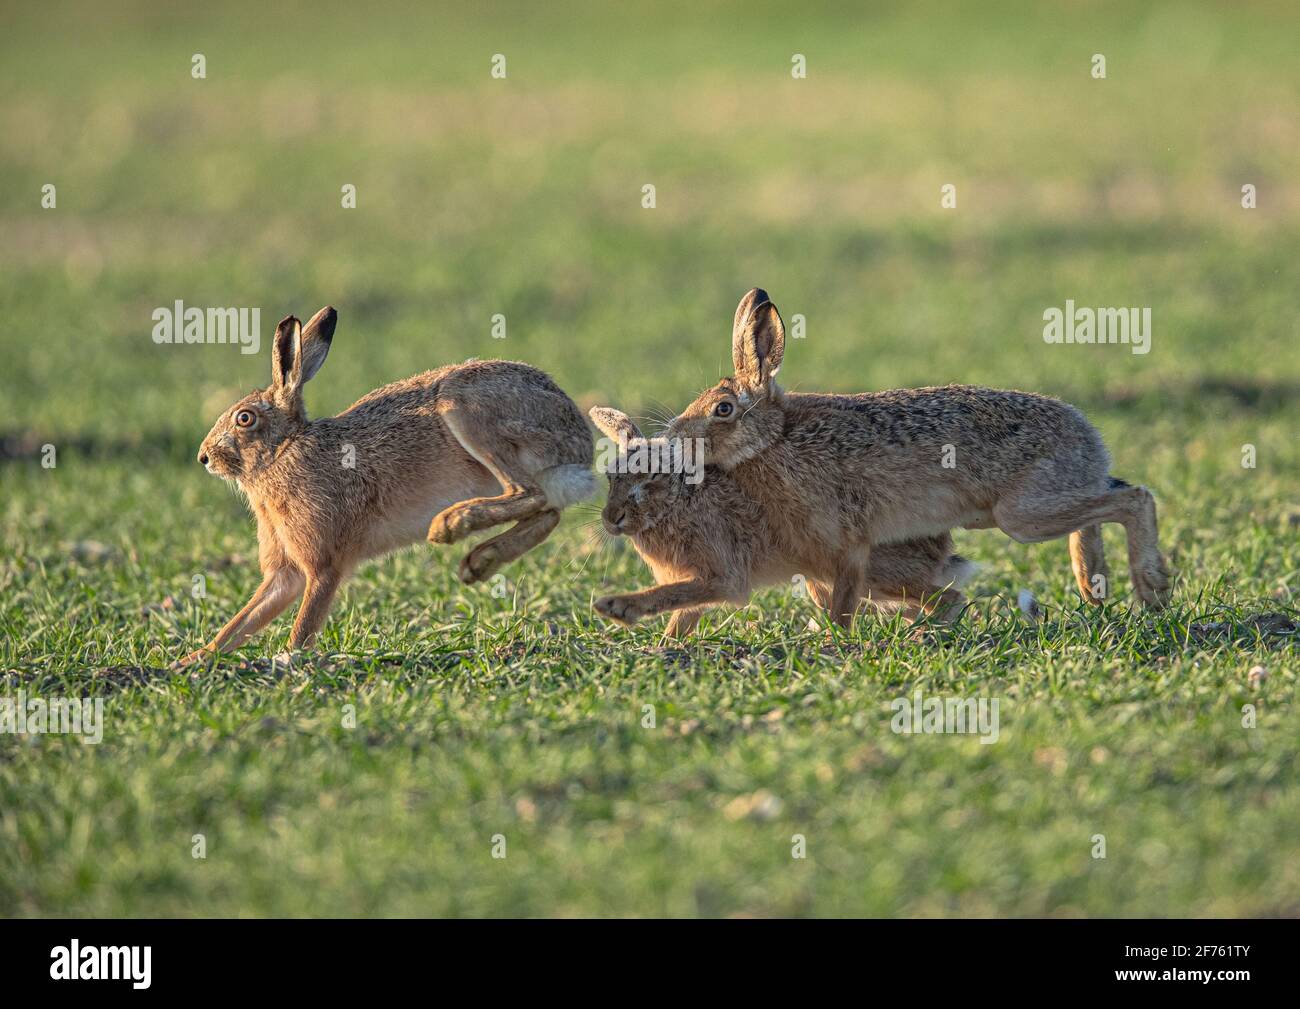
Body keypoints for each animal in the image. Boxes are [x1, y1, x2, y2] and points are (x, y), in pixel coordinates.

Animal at [177, 307, 594, 667]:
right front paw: (192, 661)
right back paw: (479, 561)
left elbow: (305, 623)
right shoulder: (285, 572)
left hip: (465, 408)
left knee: (528, 494)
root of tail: (581, 444)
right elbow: (243, 621)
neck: (282, 450)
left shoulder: (324, 563)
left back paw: (450, 525)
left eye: (244, 418)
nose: (203, 457)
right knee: (547, 512)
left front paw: (287, 660)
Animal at [588, 406, 976, 636]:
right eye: (611, 476)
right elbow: (682, 616)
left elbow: (676, 595)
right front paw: (662, 648)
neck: (679, 500)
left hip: (872, 574)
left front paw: (617, 607)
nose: (612, 518)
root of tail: (941, 548)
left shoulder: (721, 574)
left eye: (653, 477)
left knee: (948, 597)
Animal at [660, 288, 1171, 626]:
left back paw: (1153, 590)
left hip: (1023, 514)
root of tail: (1091, 438)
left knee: (1135, 498)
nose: (675, 436)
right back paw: (1094, 584)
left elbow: (841, 596)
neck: (776, 436)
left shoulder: (844, 533)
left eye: (723, 410)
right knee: (1109, 500)